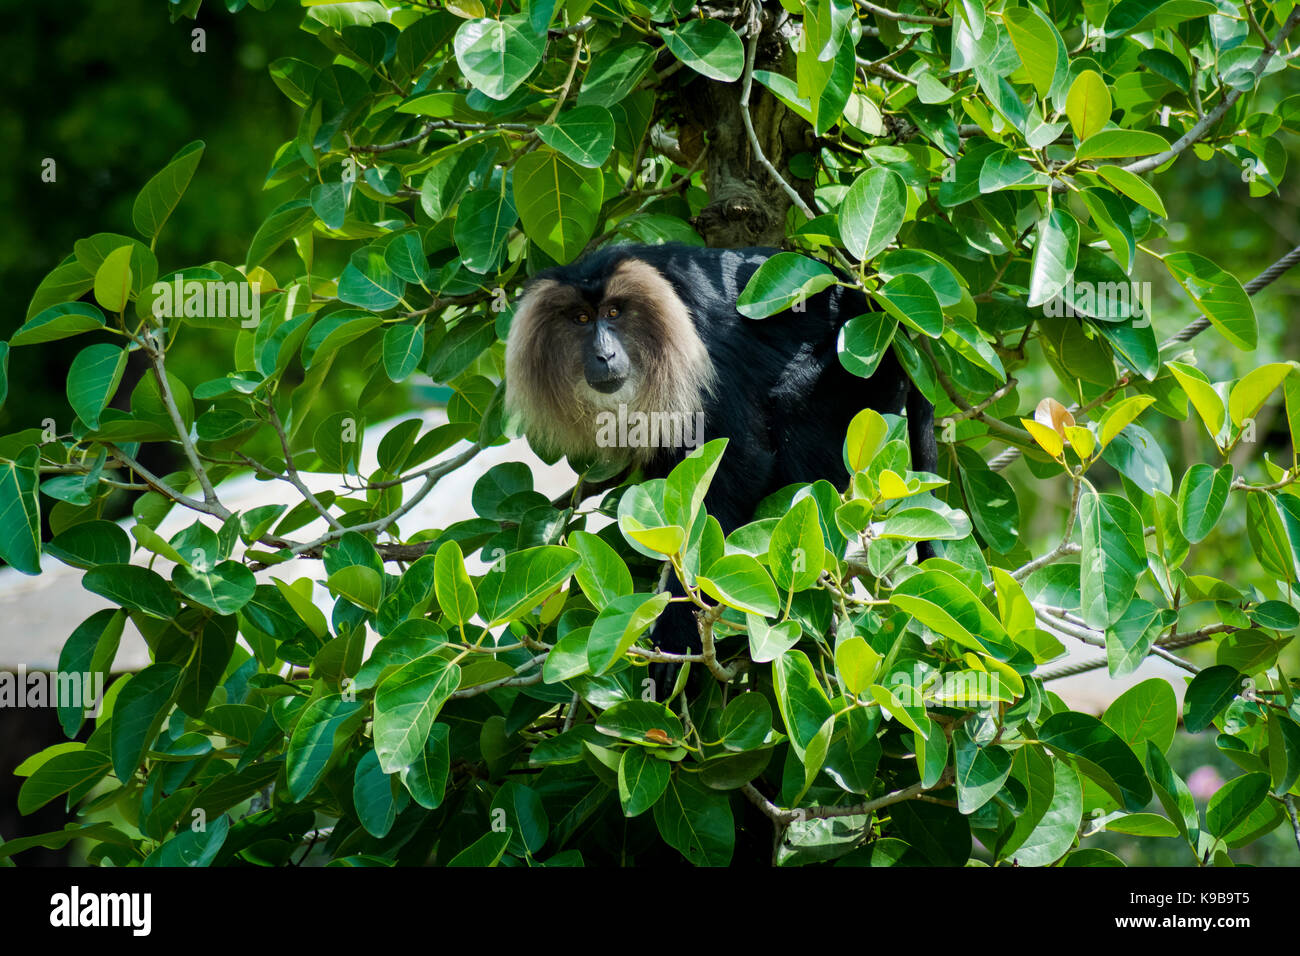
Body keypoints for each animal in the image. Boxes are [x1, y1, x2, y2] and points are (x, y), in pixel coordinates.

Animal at [505, 243, 937, 694]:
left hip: (860, 372)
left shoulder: (704, 355)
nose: (603, 354)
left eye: (614, 313)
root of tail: (884, 318)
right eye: (581, 319)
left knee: (795, 404)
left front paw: (677, 636)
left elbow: (737, 467)